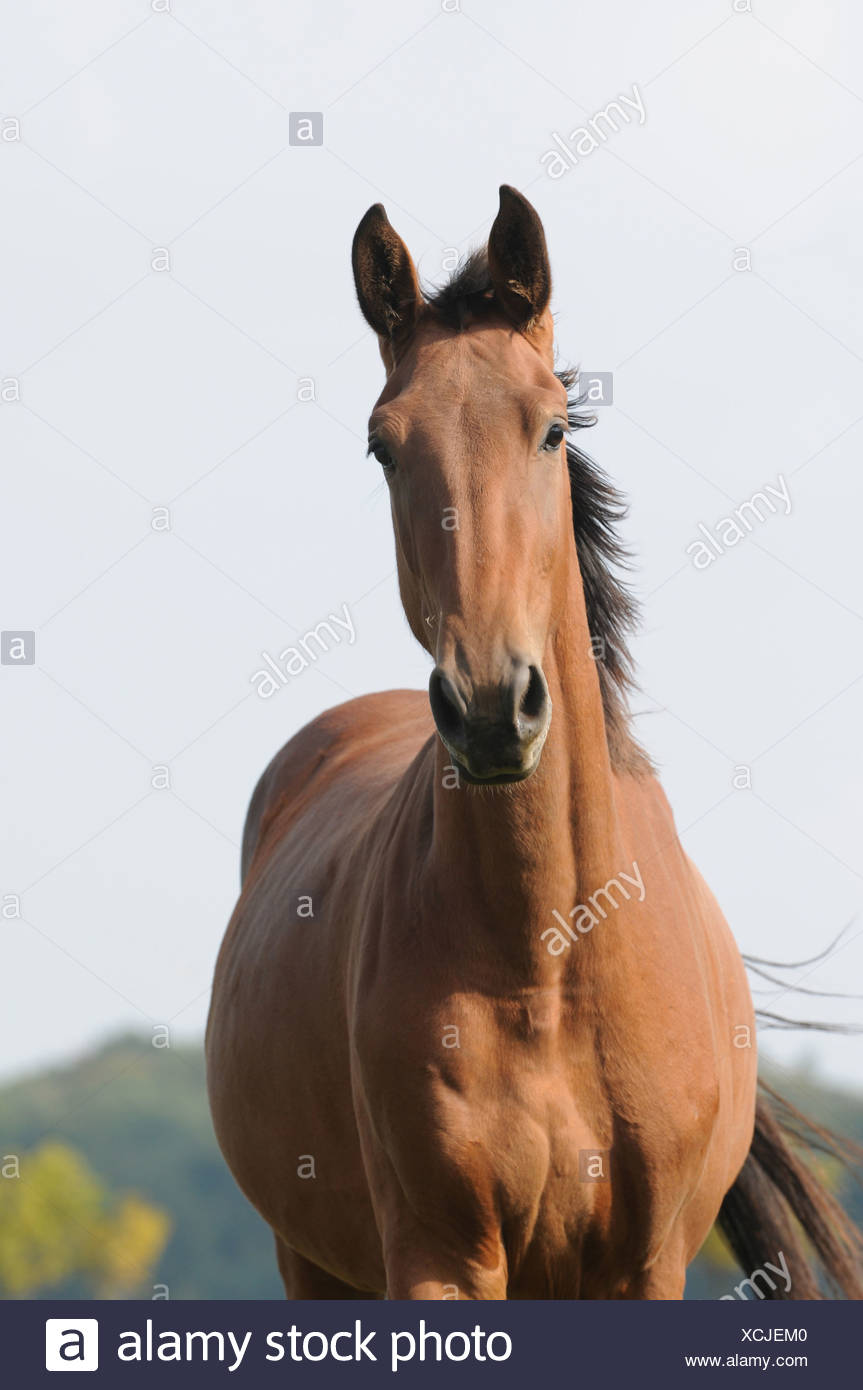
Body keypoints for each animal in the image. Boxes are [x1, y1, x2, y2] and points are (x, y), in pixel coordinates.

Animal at [206, 186, 862, 1299]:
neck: (547, 958)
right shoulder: (441, 1259)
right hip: (315, 1263)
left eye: (551, 430)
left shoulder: (642, 1268)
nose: (487, 705)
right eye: (383, 446)